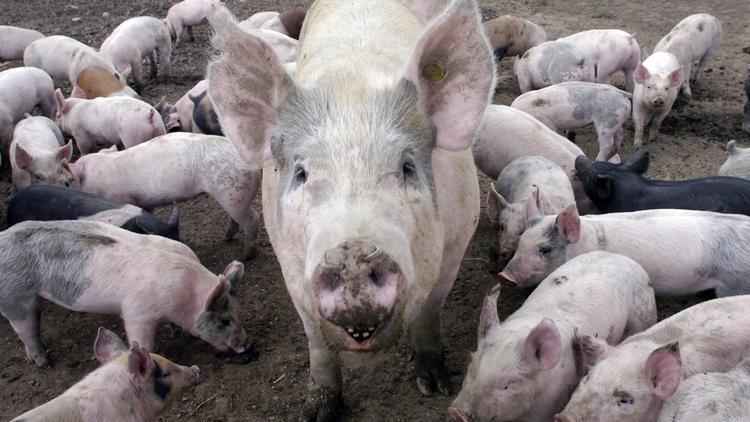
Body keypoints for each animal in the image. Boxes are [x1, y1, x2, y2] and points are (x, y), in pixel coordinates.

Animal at [0, 219, 251, 367]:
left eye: (240, 312)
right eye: (224, 320)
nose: (247, 345)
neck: (186, 295)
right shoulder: (137, 313)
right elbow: (142, 341)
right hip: (14, 297)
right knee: (27, 331)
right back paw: (44, 362)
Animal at [69, 133, 260, 260]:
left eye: (71, 180)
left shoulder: (120, 198)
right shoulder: (145, 202)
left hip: (233, 192)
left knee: (253, 219)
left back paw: (246, 256)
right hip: (232, 194)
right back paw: (227, 238)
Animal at [206, 0, 495, 417]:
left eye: (407, 167)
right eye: (301, 172)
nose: (353, 255)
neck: (351, 85)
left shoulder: (458, 239)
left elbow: (429, 311)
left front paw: (435, 386)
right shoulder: (289, 263)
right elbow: (317, 341)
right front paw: (317, 412)